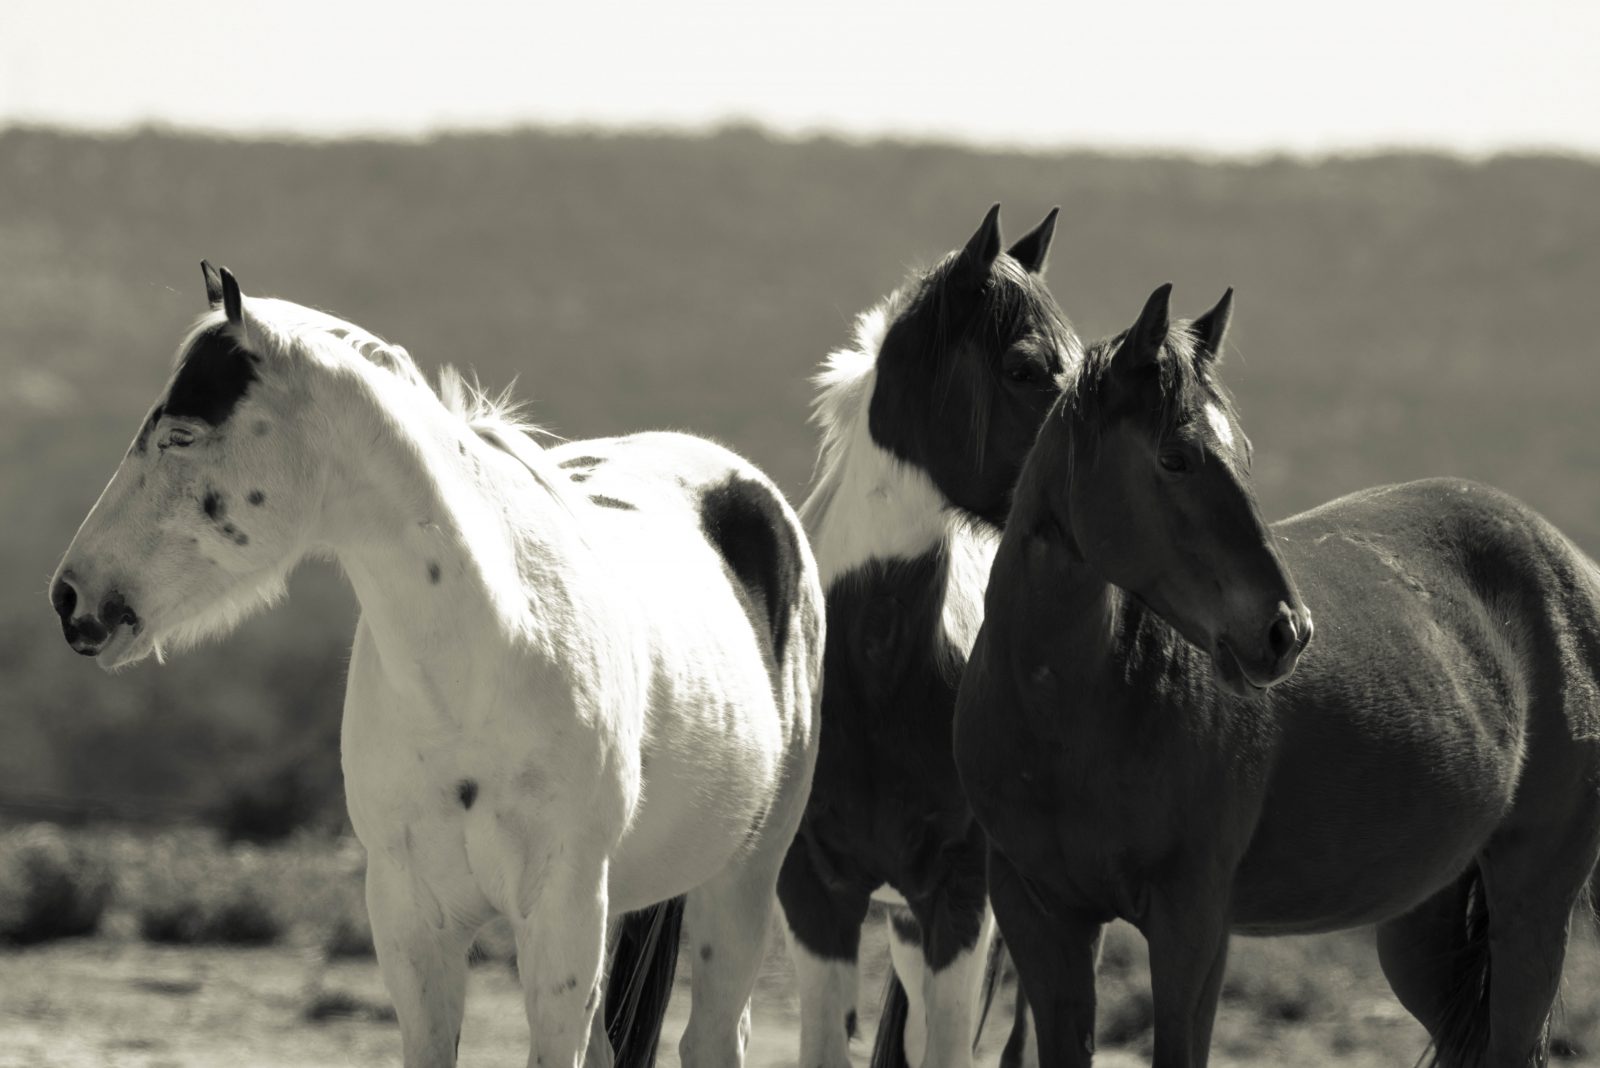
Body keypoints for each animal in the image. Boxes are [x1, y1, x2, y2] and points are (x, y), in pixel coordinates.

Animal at [48, 264, 825, 1068]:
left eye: (181, 434)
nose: (71, 598)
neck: (479, 664)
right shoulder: (412, 921)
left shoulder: (561, 915)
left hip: (740, 882)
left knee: (713, 1035)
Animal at [949, 283, 1600, 1067]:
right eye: (1175, 458)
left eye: (1245, 454)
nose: (1286, 632)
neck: (1065, 716)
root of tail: (1570, 563)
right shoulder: (1043, 918)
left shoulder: (1192, 925)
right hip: (1424, 924)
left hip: (1534, 899)